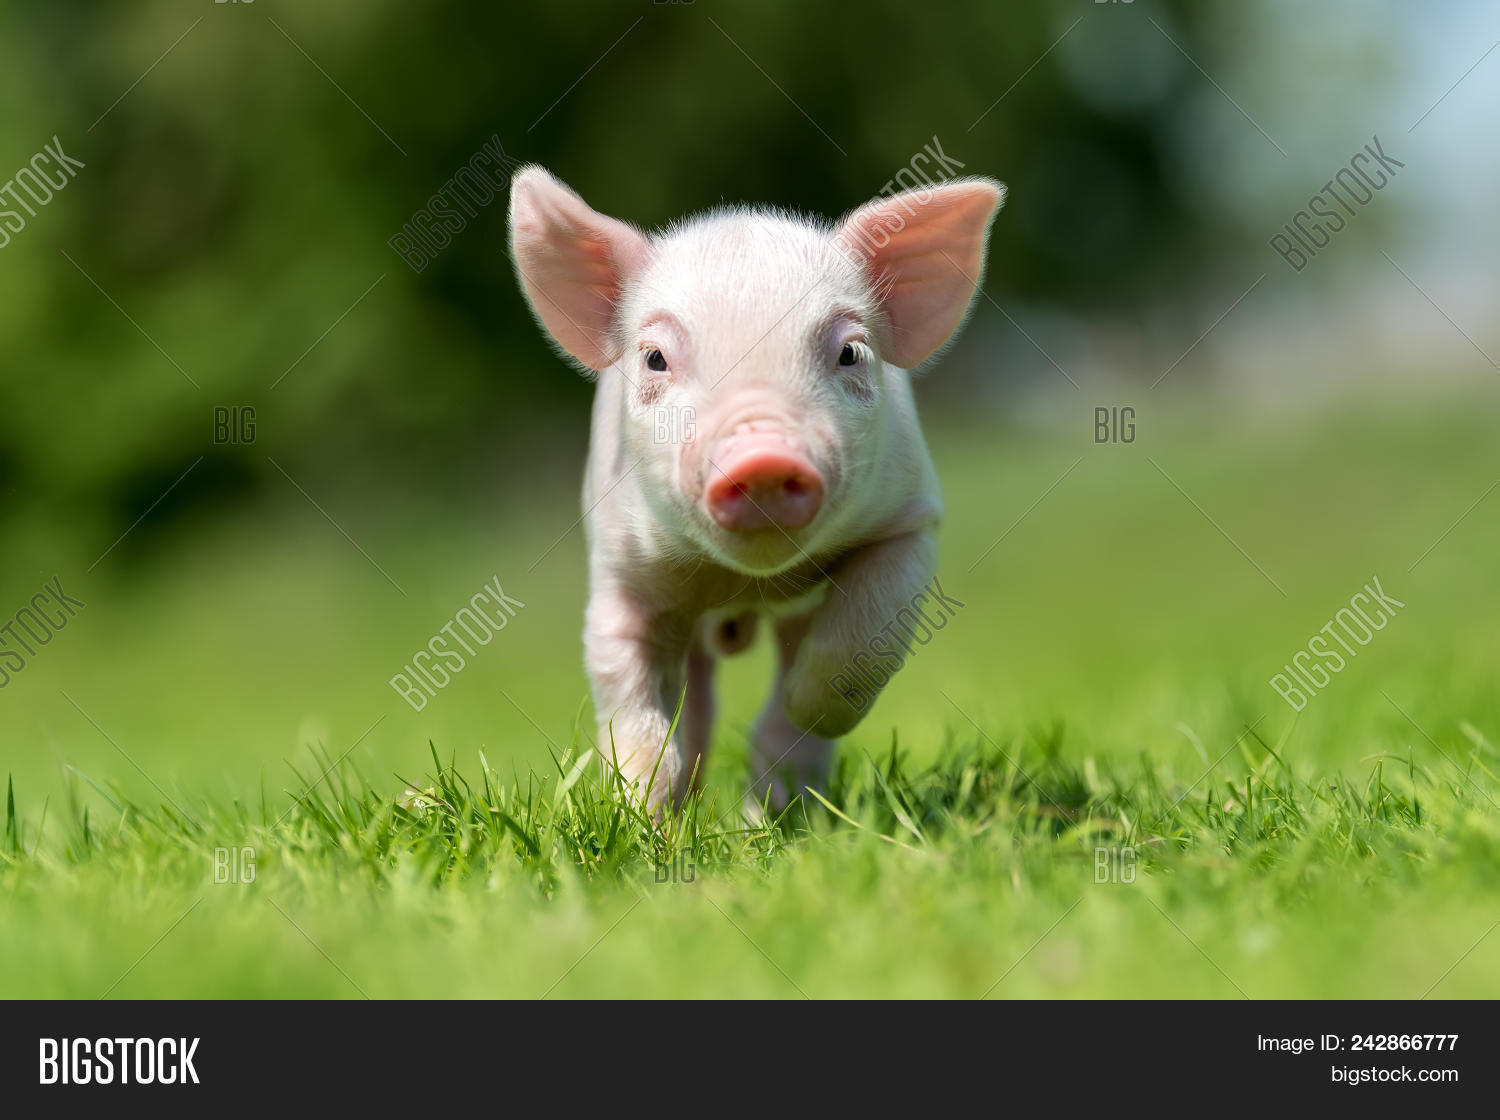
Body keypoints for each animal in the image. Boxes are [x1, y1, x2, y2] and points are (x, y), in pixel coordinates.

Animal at [508, 166, 1003, 811]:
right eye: (655, 358)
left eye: (850, 352)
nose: (763, 455)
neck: (745, 583)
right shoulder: (621, 568)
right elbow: (628, 693)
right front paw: (640, 812)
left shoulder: (910, 523)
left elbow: (865, 635)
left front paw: (803, 705)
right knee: (697, 703)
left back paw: (773, 810)